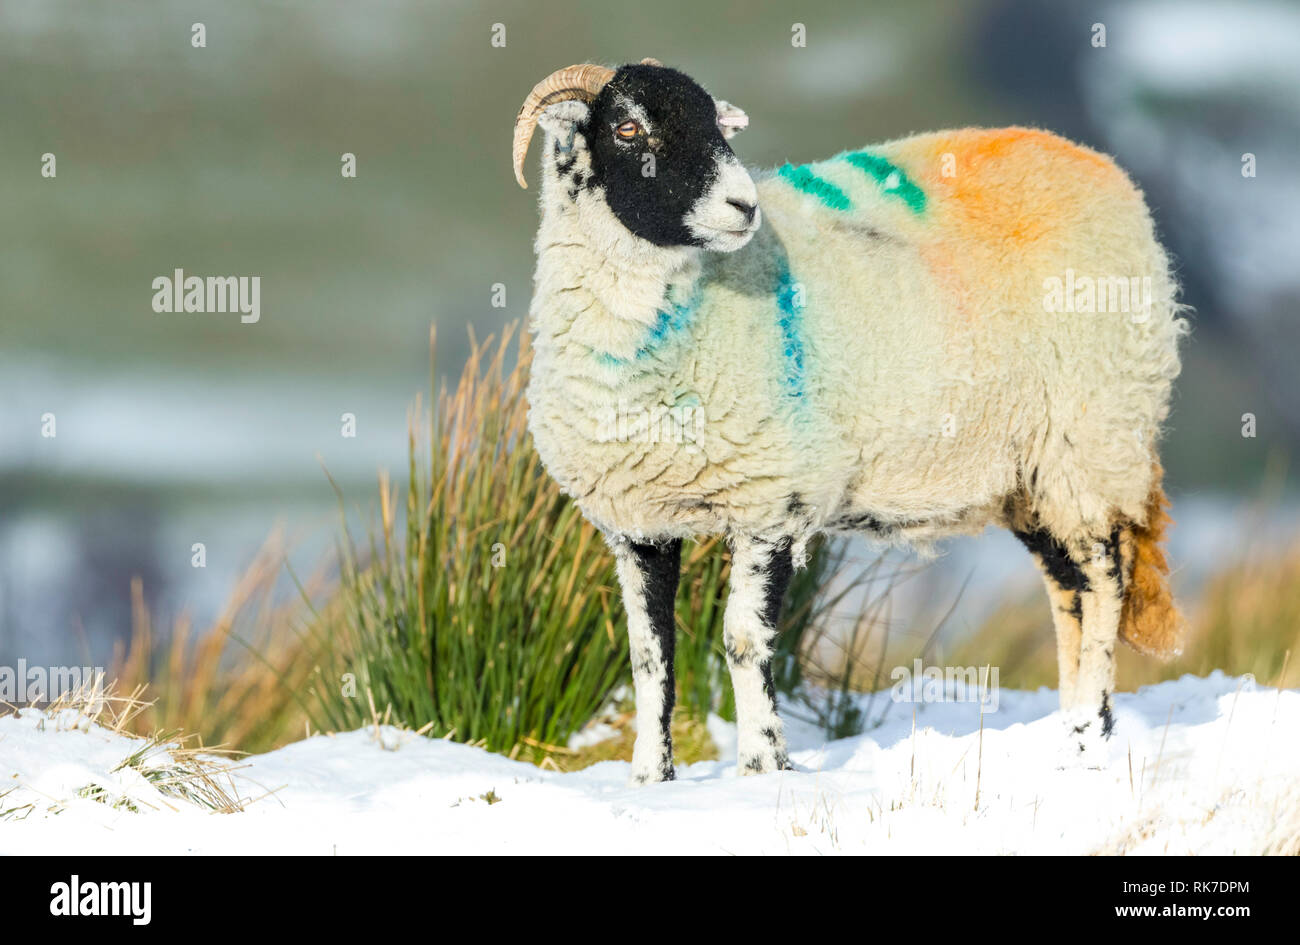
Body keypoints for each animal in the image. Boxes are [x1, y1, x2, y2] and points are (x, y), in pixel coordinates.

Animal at [513, 60, 1188, 783]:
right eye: (627, 128)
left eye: (715, 125)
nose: (744, 207)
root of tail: (1101, 168)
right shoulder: (637, 521)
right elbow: (649, 656)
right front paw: (650, 778)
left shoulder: (773, 499)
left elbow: (744, 640)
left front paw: (763, 765)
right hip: (1032, 473)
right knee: (1067, 591)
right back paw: (1069, 729)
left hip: (1092, 436)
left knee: (1105, 579)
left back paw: (1091, 728)